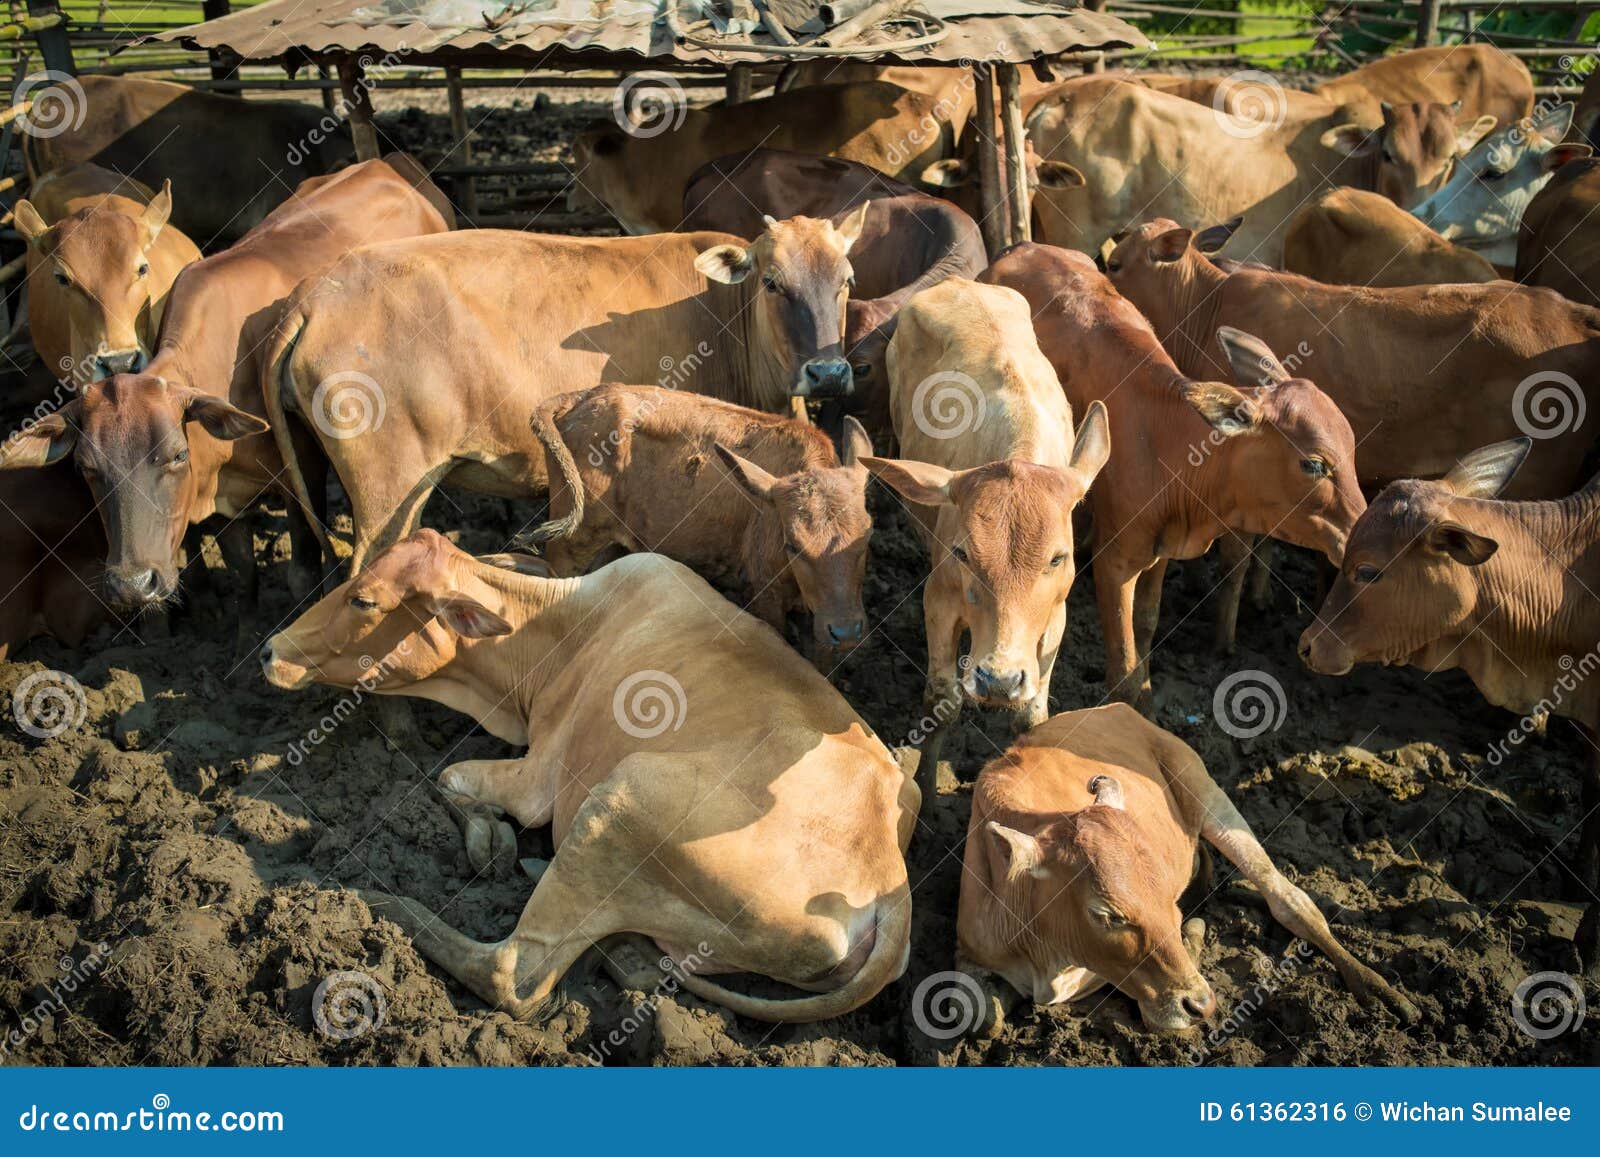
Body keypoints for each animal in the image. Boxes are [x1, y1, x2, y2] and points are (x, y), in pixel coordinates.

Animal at [260, 529, 918, 1021]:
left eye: (364, 600)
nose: (270, 650)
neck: (557, 627)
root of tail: (890, 884)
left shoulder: (536, 783)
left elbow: (448, 779)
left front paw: (490, 841)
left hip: (618, 802)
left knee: (510, 974)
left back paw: (384, 904)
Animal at [522, 384, 874, 663]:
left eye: (867, 538)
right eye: (792, 545)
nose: (845, 630)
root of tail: (587, 394)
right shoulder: (766, 593)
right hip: (572, 545)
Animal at [856, 279, 1110, 799]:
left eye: (1057, 559)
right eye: (963, 554)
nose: (998, 680)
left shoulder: (1055, 618)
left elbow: (1032, 715)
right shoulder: (939, 598)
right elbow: (943, 701)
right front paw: (928, 794)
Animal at [958, 703, 1420, 1029]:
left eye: (1169, 901)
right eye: (1106, 915)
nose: (1202, 1003)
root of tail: (1116, 708)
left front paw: (1194, 933)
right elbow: (981, 1015)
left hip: (1207, 792)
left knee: (1291, 901)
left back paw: (1381, 992)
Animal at [981, 243, 1363, 706]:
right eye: (1314, 464)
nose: (1356, 533)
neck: (1167, 446)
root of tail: (1020, 246)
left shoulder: (1159, 553)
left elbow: (1146, 623)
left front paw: (1147, 690)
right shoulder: (1116, 562)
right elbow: (1122, 658)